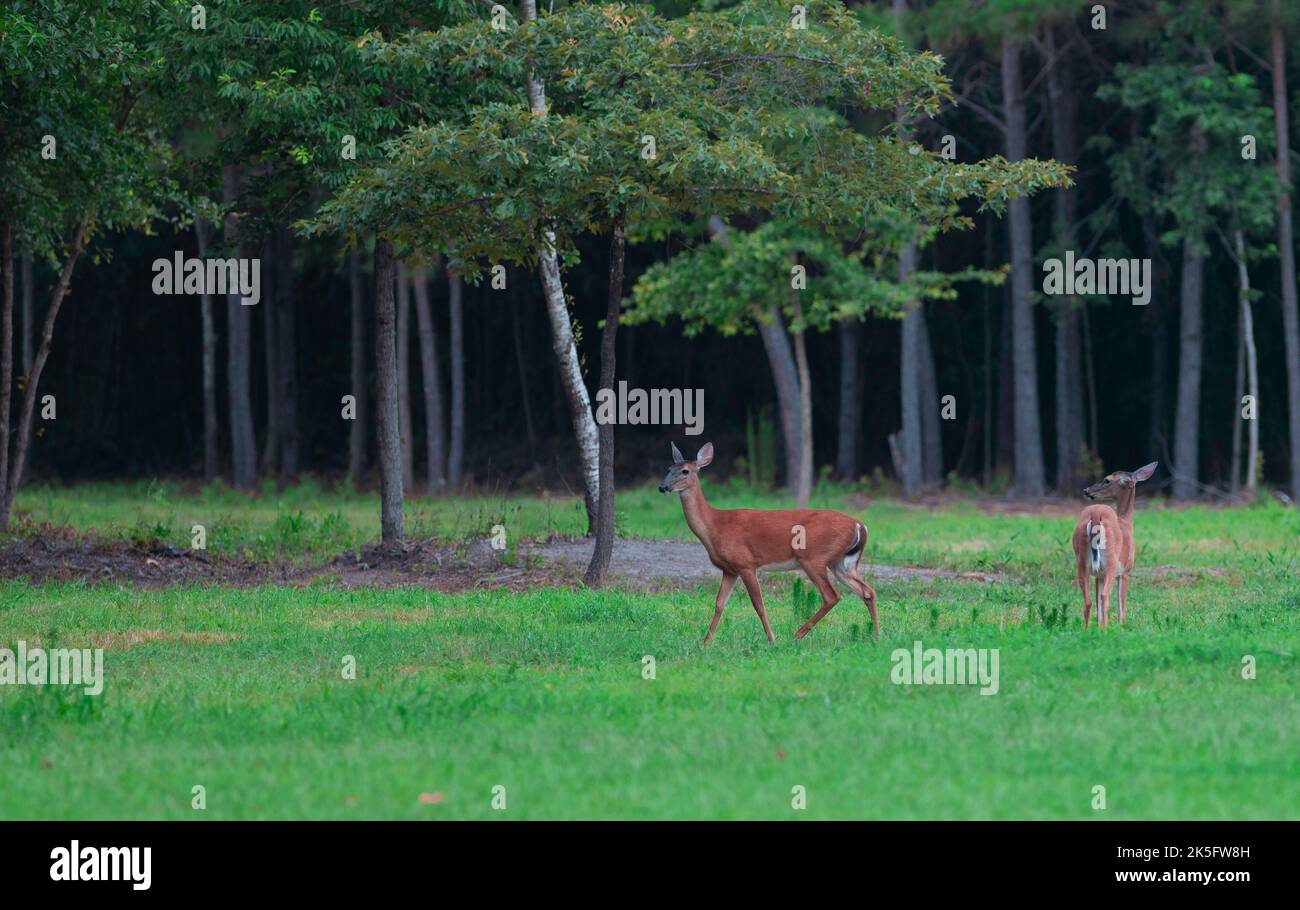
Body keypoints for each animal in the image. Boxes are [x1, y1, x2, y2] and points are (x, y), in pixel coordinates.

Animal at [659, 442, 878, 644]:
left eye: (685, 471)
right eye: (668, 469)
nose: (662, 487)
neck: (715, 526)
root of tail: (859, 526)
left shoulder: (746, 564)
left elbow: (759, 605)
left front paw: (772, 640)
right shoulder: (729, 569)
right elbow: (719, 604)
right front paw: (706, 643)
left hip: (814, 558)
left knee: (832, 596)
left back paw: (797, 635)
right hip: (842, 563)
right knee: (867, 592)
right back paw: (876, 636)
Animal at [1071, 462, 1158, 629]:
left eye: (1107, 480)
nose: (1086, 490)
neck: (1127, 523)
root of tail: (1095, 515)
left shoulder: (1098, 575)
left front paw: (1099, 627)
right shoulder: (1125, 570)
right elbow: (1121, 605)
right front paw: (1121, 626)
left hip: (1082, 562)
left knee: (1088, 601)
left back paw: (1087, 630)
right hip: (1110, 562)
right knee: (1105, 597)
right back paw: (1105, 630)